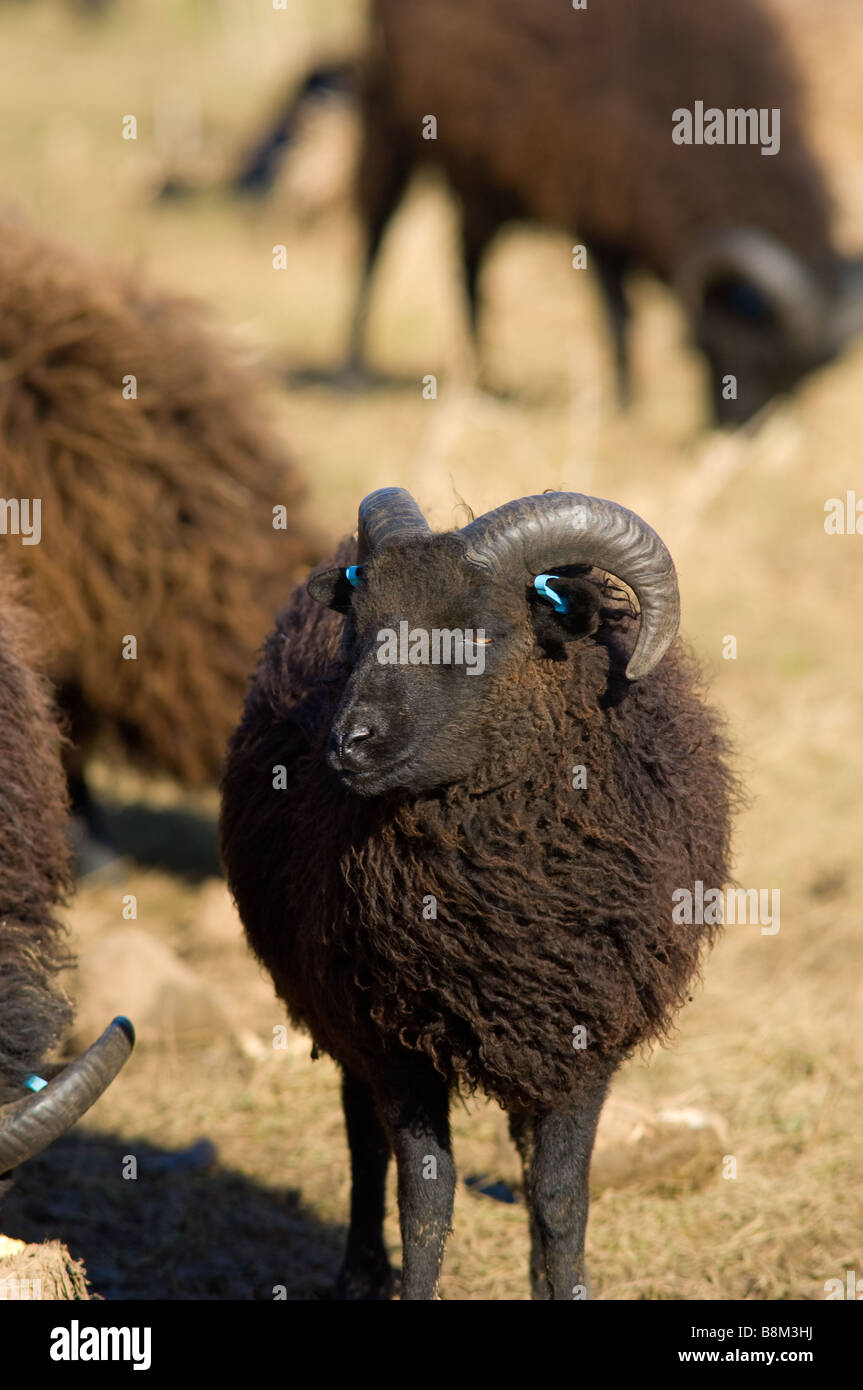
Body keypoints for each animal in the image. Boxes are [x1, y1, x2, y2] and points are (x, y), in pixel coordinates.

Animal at [220, 486, 738, 1299]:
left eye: (478, 635)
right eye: (360, 629)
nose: (349, 742)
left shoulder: (583, 1035)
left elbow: (559, 1193)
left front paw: (564, 1284)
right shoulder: (392, 1037)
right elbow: (424, 1195)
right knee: (361, 1136)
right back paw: (359, 1274)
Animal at [237, 0, 863, 422]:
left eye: (806, 375)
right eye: (762, 352)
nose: (739, 436)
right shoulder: (600, 207)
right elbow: (618, 314)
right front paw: (626, 402)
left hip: (484, 172)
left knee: (469, 266)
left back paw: (484, 379)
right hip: (391, 118)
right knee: (376, 236)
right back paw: (353, 369)